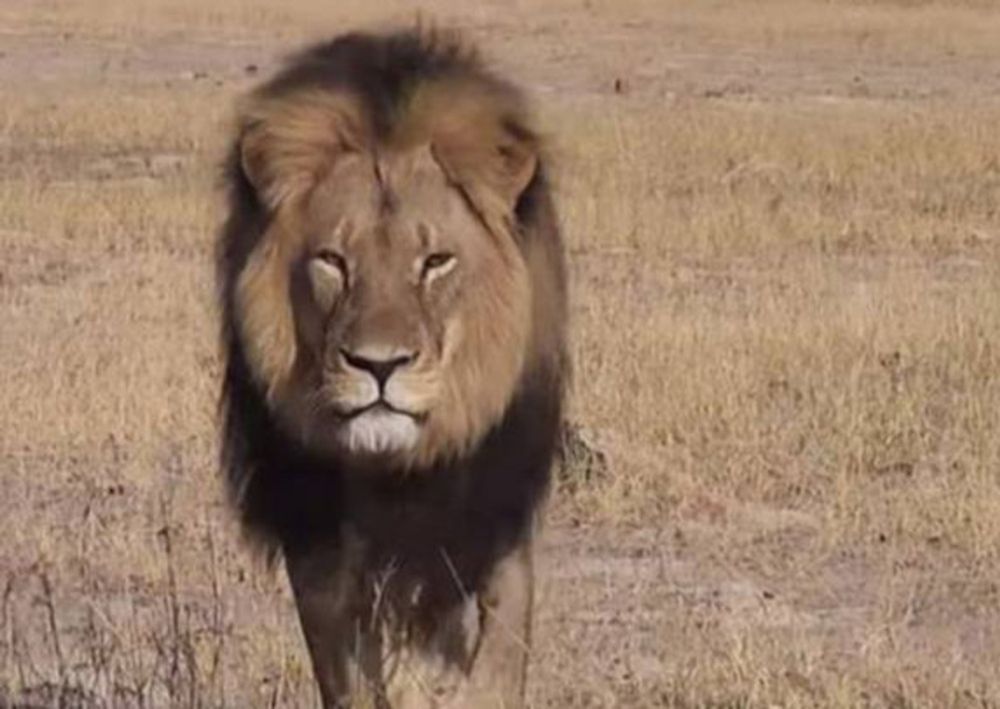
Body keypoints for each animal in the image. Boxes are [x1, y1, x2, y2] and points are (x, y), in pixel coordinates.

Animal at [215, 28, 568, 708]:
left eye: (435, 262)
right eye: (332, 260)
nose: (379, 365)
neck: (398, 477)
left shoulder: (495, 523)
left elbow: (495, 668)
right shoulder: (321, 550)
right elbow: (351, 678)